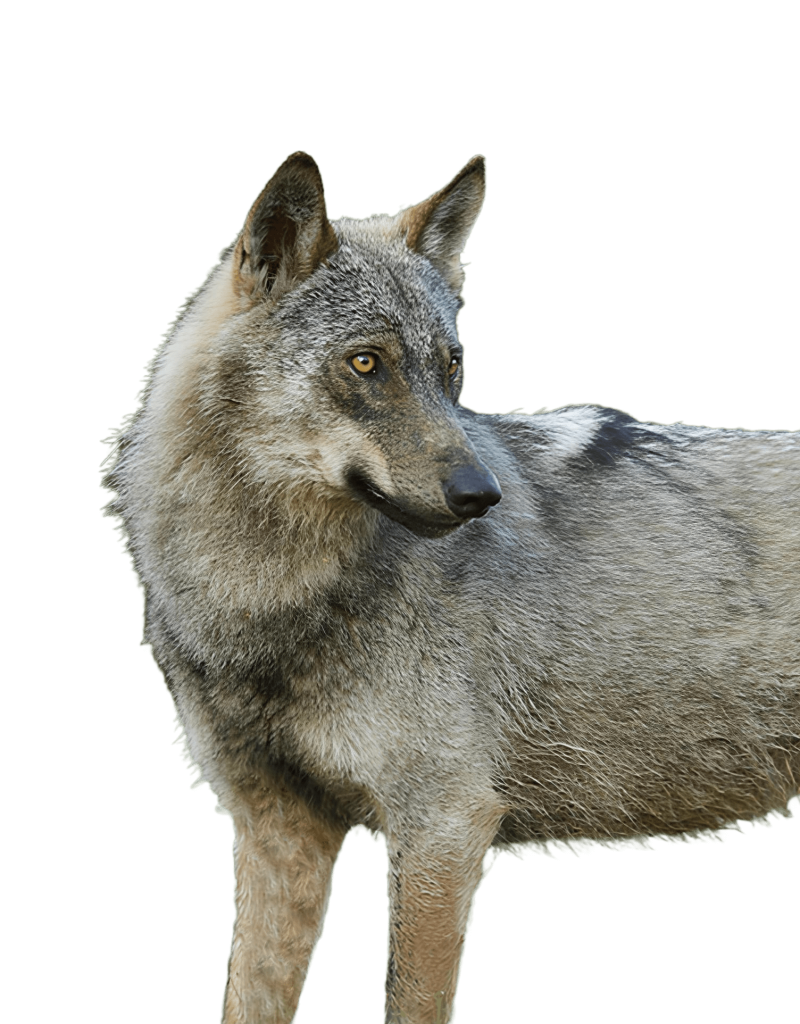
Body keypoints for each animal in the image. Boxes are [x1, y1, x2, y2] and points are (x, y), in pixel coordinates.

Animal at [100, 151, 799, 1023]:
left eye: (451, 367)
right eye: (366, 361)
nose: (482, 495)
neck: (266, 594)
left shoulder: (443, 826)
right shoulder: (280, 828)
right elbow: (248, 999)